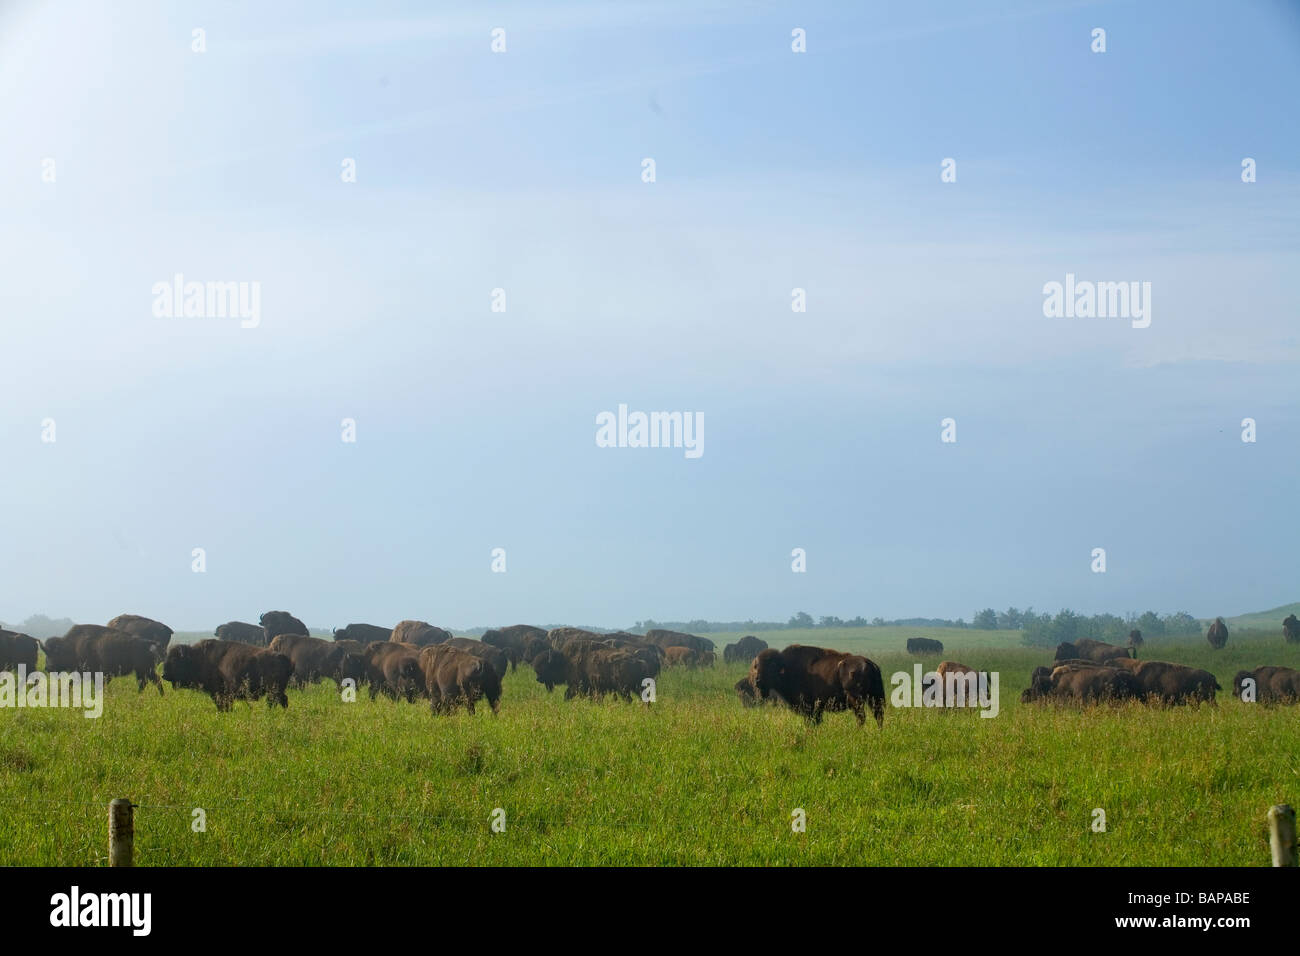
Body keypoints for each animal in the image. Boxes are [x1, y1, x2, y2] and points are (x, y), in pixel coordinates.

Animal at [748, 645, 885, 727]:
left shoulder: (809, 707)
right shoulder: (817, 709)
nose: (757, 681)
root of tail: (870, 664)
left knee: (861, 717)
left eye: (771, 666)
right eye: (756, 666)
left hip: (856, 700)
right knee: (878, 715)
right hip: (875, 698)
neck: (787, 668)